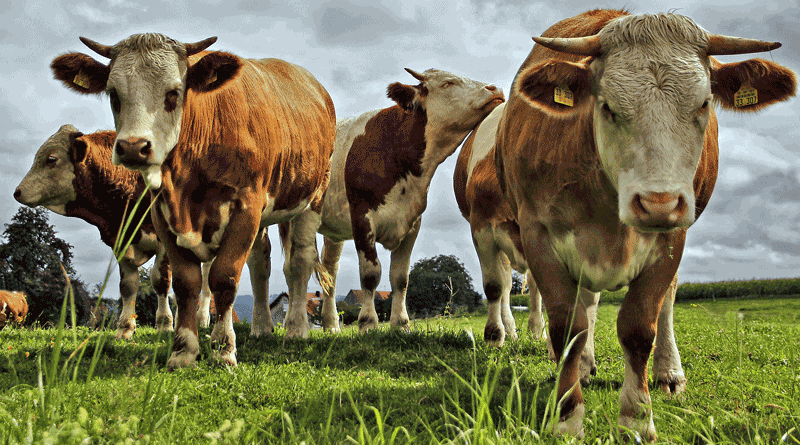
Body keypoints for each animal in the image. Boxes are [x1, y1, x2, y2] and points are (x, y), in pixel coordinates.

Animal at [50, 34, 336, 368]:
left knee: (300, 261)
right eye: (113, 93)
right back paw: (262, 326)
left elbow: (224, 277)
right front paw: (184, 350)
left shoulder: (246, 207)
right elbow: (186, 283)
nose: (133, 147)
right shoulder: (162, 214)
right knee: (260, 262)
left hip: (311, 197)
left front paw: (224, 349)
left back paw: (295, 329)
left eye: (174, 92)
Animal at [273, 68, 504, 337]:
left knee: (330, 269)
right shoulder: (362, 218)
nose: (495, 88)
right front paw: (368, 323)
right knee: (292, 268)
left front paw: (401, 324)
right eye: (448, 83)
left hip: (333, 230)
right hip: (291, 220)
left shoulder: (412, 222)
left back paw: (331, 325)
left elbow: (400, 278)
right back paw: (291, 323)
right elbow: (370, 275)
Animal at [493, 9, 796, 441]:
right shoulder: (538, 234)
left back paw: (669, 373)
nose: (658, 203)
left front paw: (636, 419)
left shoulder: (672, 238)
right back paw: (584, 367)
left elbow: (639, 328)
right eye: (607, 106)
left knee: (666, 302)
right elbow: (569, 327)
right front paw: (567, 419)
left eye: (704, 103)